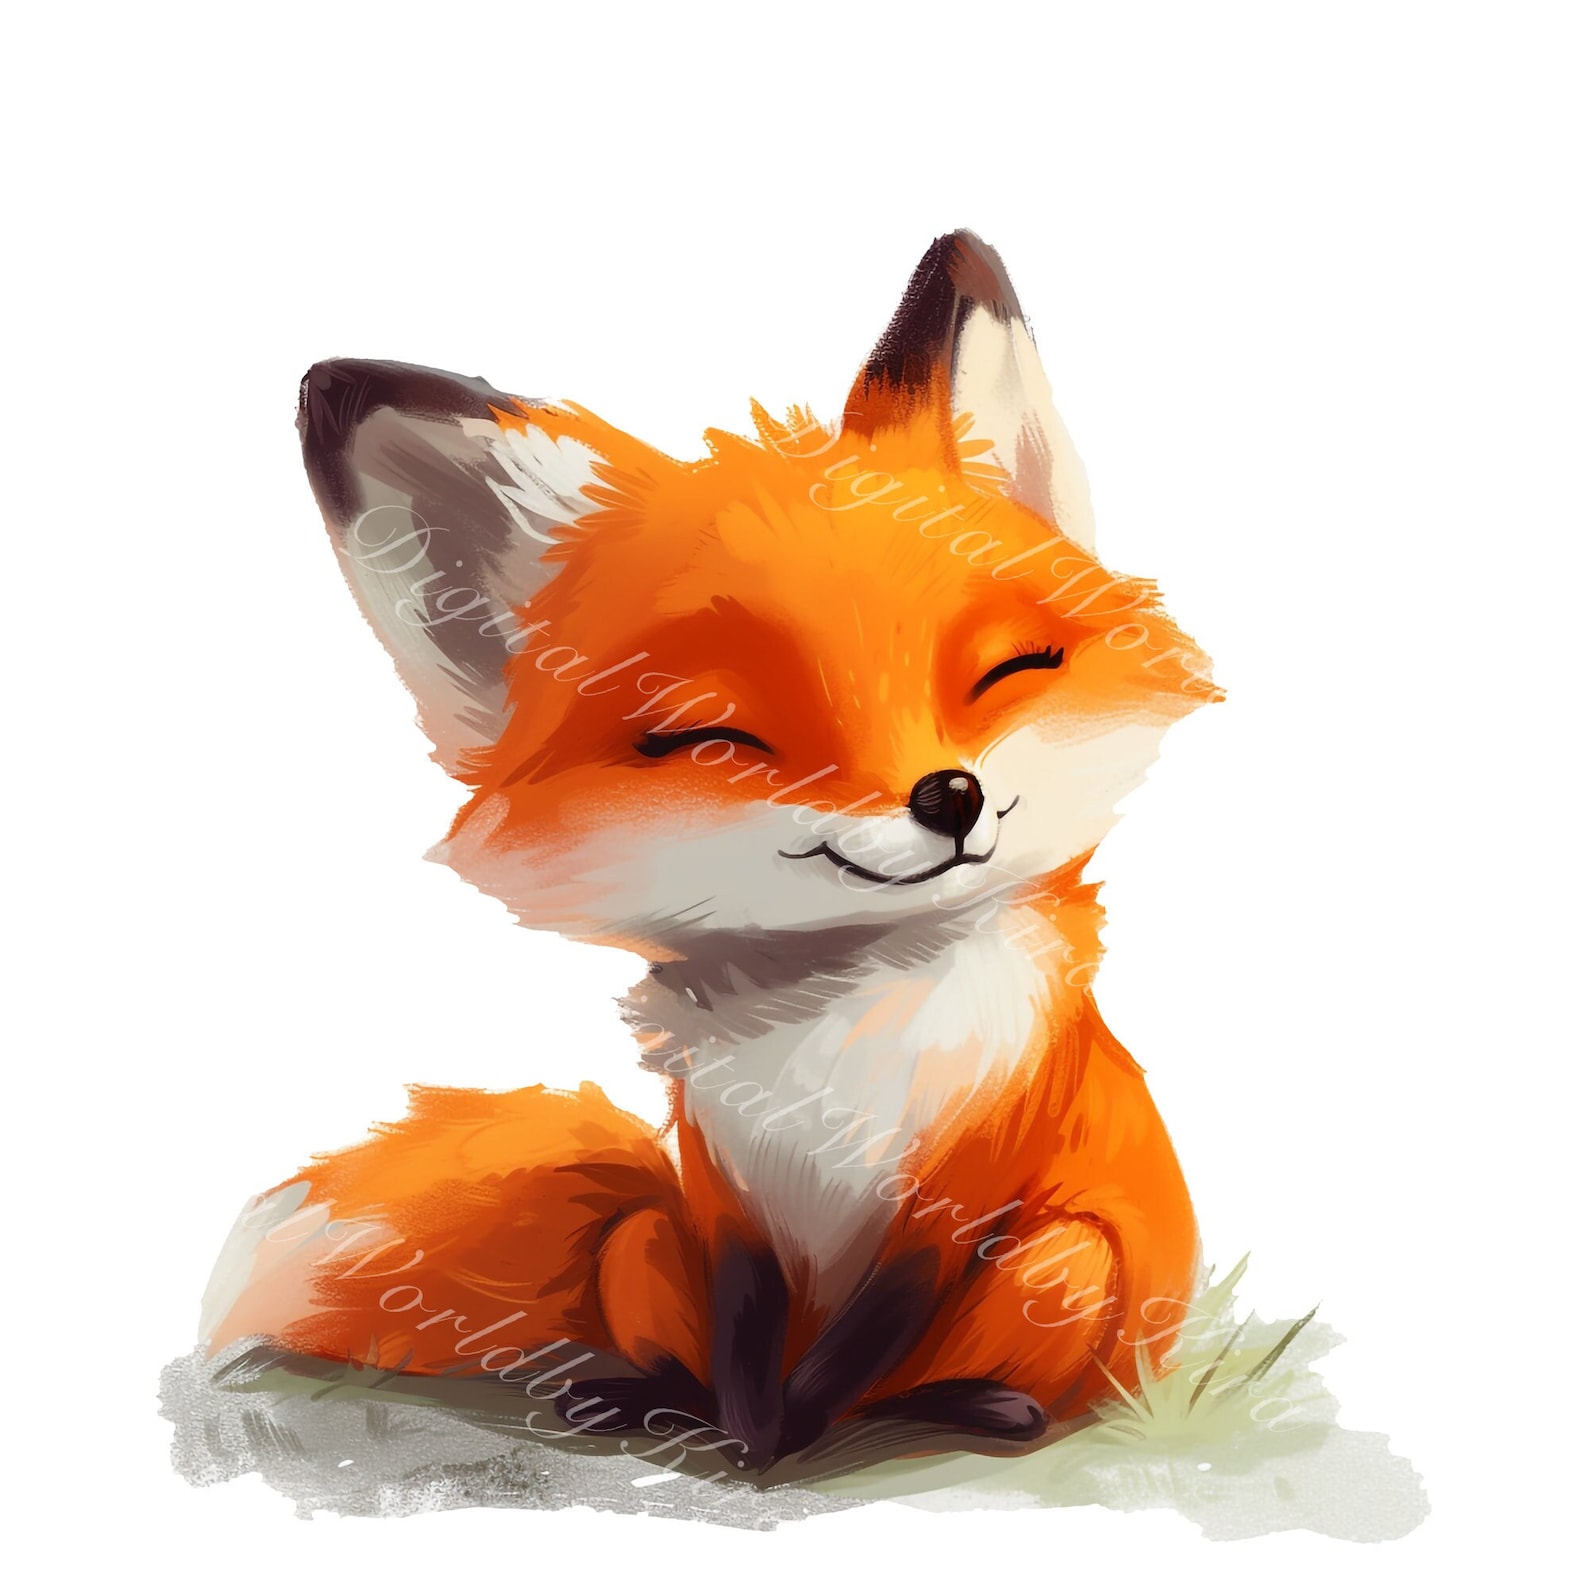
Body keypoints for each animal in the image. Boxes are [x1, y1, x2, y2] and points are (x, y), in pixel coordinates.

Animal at [200, 231, 1220, 1475]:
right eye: (715, 736)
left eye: (1007, 669)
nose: (950, 795)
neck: (841, 1031)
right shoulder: (723, 1192)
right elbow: (745, 1327)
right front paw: (744, 1433)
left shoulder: (961, 1194)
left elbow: (863, 1340)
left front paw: (794, 1435)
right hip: (641, 1232)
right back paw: (640, 1397)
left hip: (1062, 1262)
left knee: (982, 1366)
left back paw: (972, 1408)